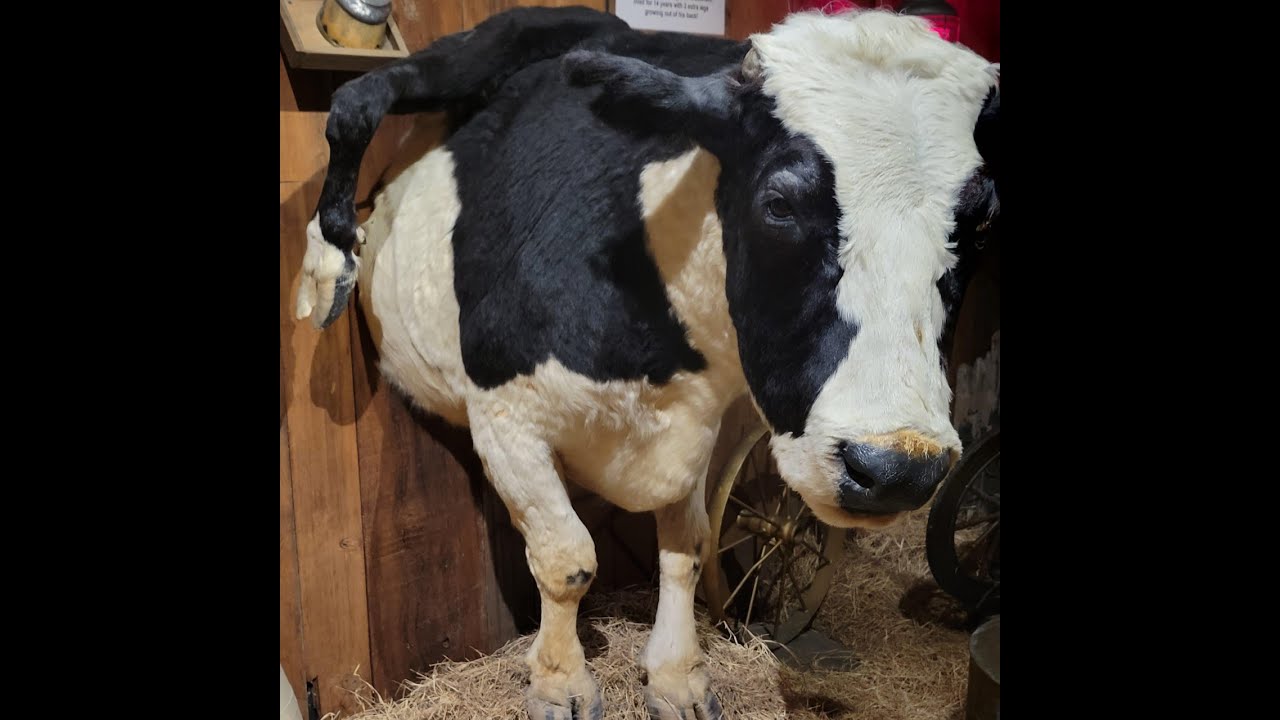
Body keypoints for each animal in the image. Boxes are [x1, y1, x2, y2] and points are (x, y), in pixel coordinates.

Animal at [291, 6, 1000, 719]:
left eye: (983, 218)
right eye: (779, 203)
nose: (896, 469)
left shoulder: (709, 422)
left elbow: (687, 546)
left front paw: (677, 678)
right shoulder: (506, 416)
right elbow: (567, 559)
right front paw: (560, 683)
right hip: (478, 48)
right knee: (359, 99)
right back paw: (326, 272)